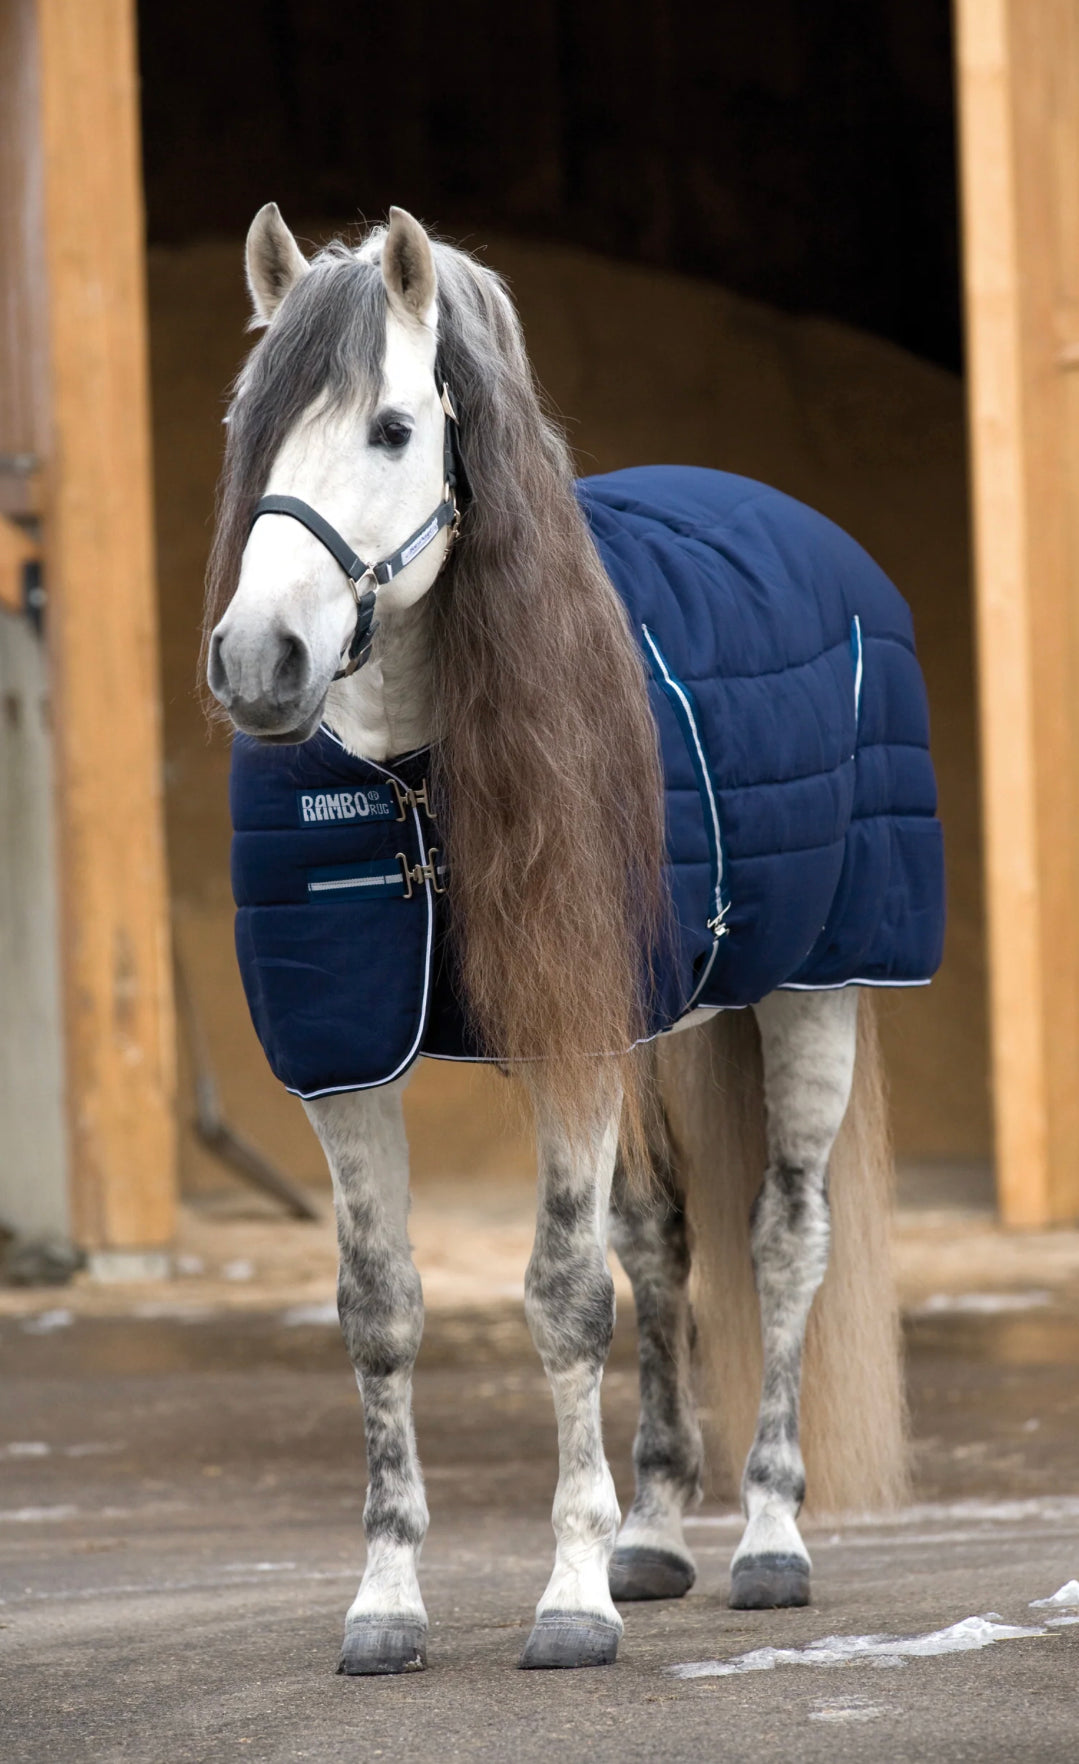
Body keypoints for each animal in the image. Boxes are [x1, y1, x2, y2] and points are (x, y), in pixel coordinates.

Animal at [204, 205, 943, 1675]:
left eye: (390, 429)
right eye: (248, 428)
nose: (260, 661)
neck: (412, 775)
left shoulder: (576, 1037)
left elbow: (560, 1296)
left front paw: (568, 1597)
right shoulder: (345, 1059)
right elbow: (381, 1311)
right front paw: (388, 1600)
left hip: (810, 996)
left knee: (782, 1242)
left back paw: (766, 1538)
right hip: (662, 1026)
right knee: (661, 1245)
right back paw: (656, 1533)